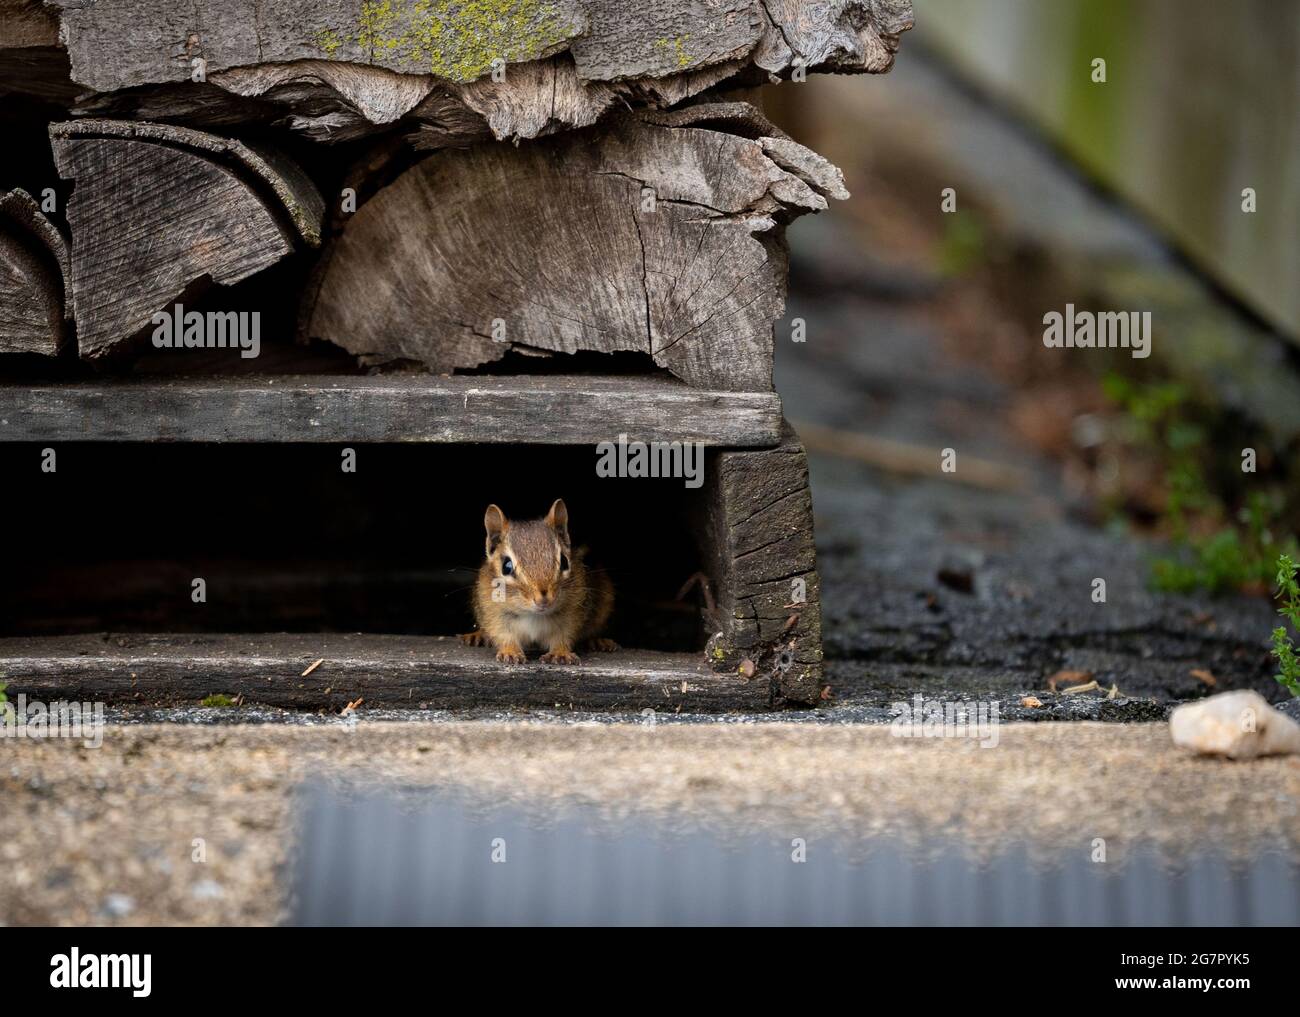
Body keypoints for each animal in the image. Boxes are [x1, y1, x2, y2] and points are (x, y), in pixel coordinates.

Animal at [459, 499, 616, 665]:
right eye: (506, 566)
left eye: (565, 562)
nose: (543, 599)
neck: (533, 615)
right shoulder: (493, 612)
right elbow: (504, 635)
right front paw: (510, 652)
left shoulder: (573, 612)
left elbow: (563, 636)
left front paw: (560, 653)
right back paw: (478, 635)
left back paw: (598, 641)